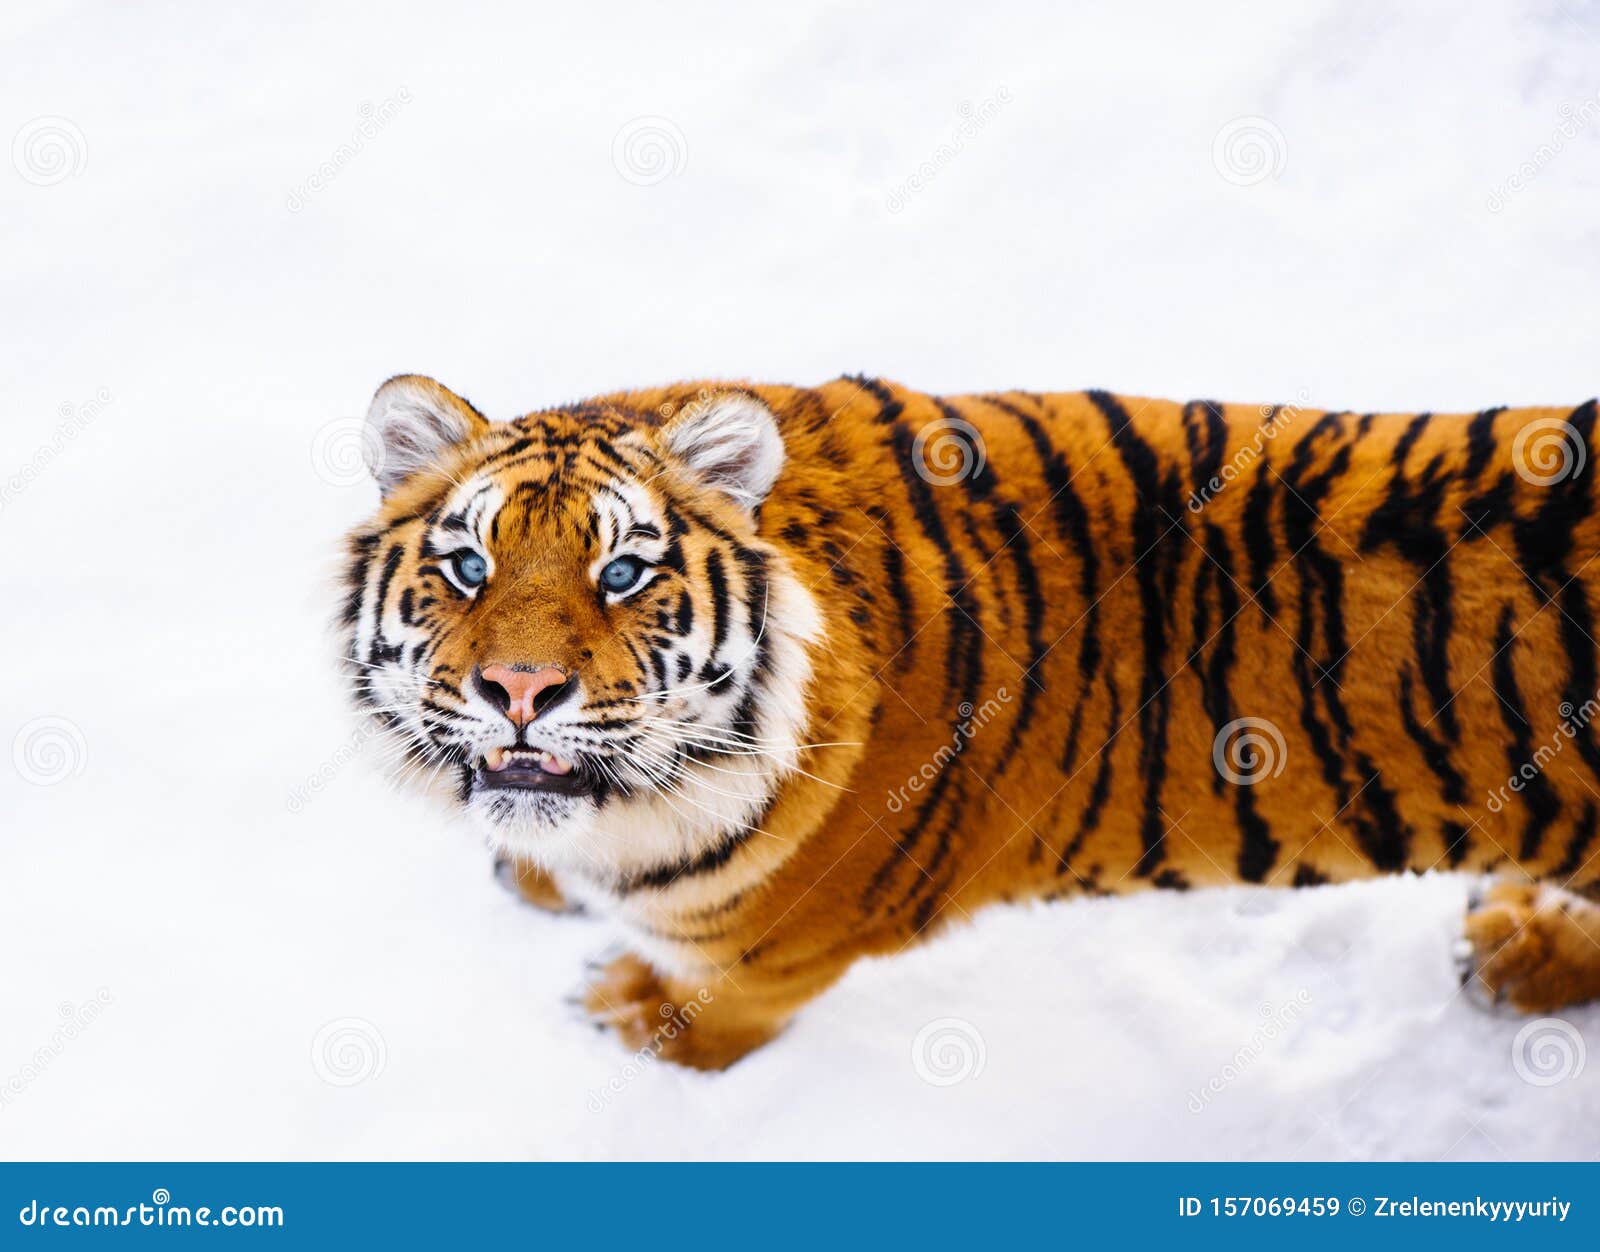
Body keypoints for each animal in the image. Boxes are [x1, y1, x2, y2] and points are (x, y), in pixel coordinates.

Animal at [339, 373, 1600, 1069]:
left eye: (622, 573)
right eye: (466, 564)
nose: (519, 691)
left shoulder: (786, 948)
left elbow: (717, 1001)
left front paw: (633, 1017)